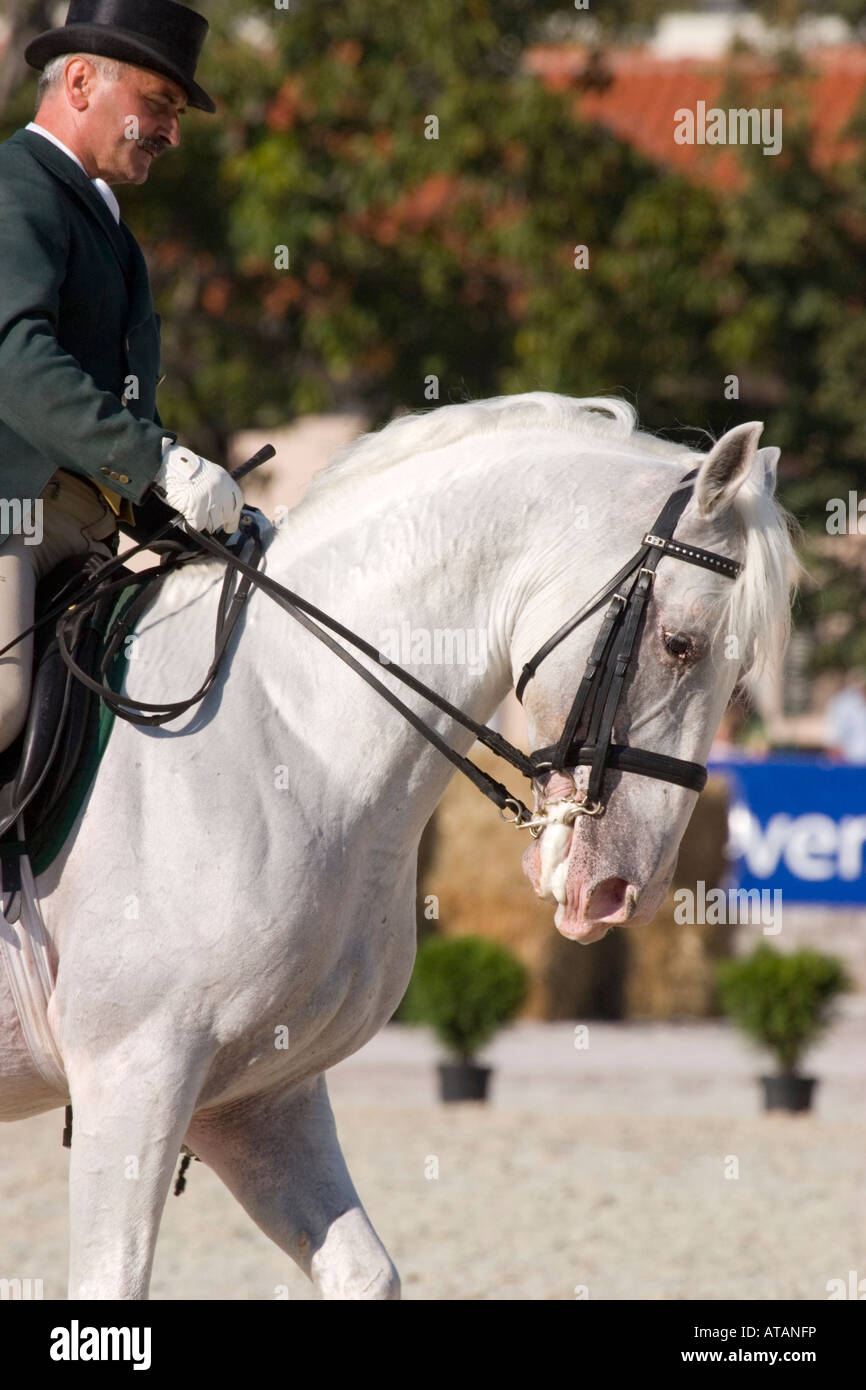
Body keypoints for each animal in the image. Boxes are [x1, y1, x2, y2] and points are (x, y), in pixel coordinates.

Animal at [0, 393, 798, 1299]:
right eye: (679, 645)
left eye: (742, 681)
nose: (621, 892)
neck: (288, 735)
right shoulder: (133, 1073)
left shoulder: (256, 1097)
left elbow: (364, 1273)